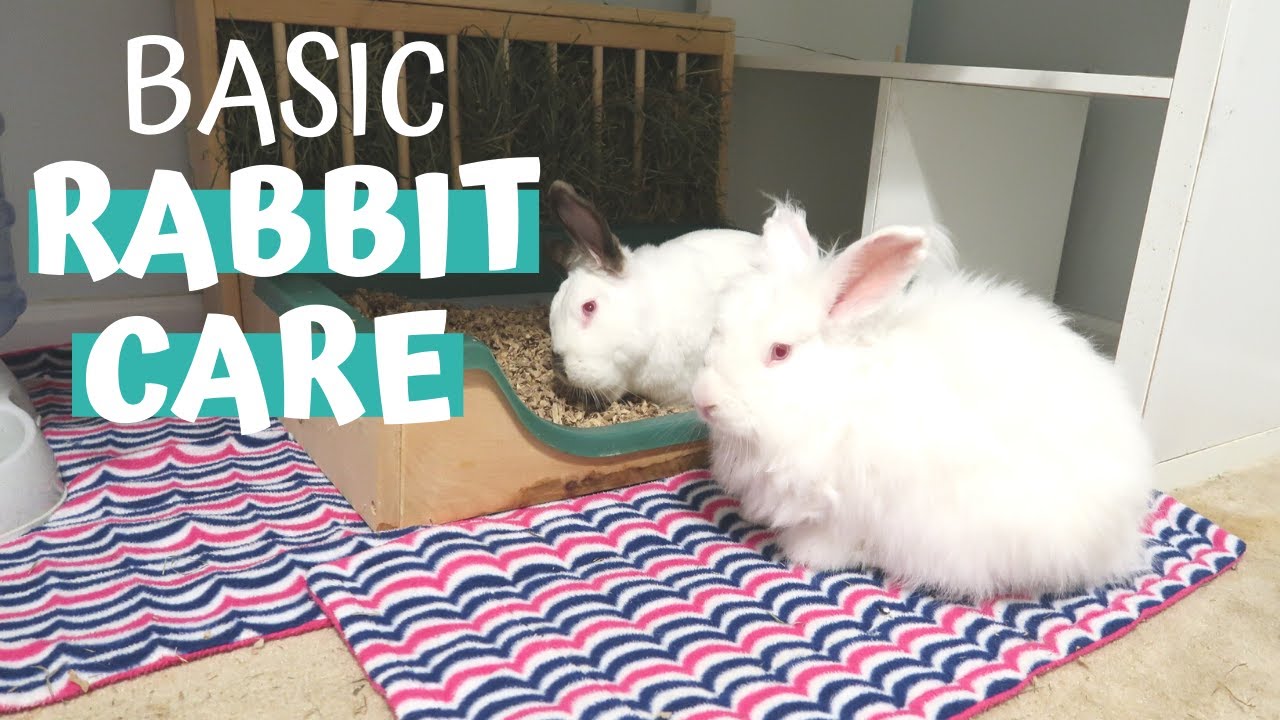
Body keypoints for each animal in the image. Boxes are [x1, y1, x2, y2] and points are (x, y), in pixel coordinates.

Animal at [690, 199, 1156, 601]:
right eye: (718, 331)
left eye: (780, 352)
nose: (703, 400)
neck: (840, 389)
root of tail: (1124, 531)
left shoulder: (852, 505)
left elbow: (832, 539)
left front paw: (805, 554)